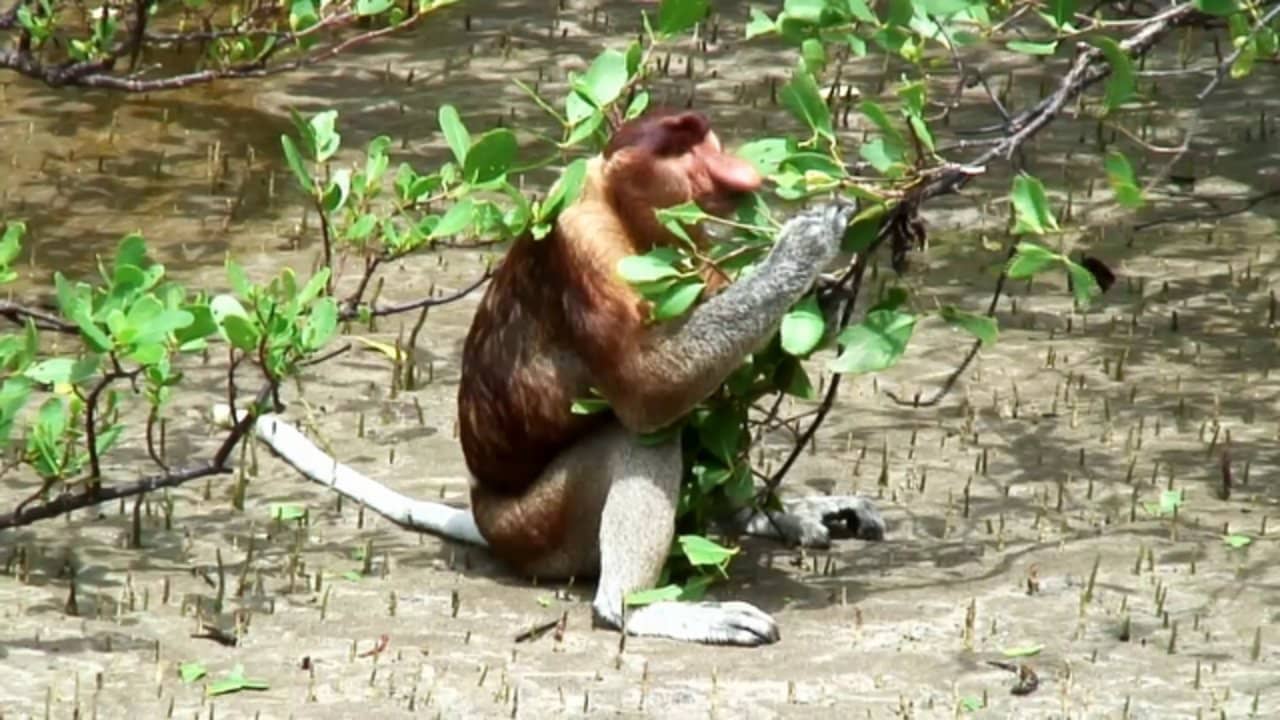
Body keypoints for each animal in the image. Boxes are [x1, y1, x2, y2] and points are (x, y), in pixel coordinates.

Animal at [455, 108, 886, 646]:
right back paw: (636, 609)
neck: (617, 203)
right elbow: (650, 387)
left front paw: (829, 297)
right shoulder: (586, 243)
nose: (739, 174)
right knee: (641, 433)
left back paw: (764, 516)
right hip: (540, 525)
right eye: (682, 148)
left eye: (705, 139)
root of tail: (484, 510)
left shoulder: (692, 244)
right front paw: (806, 245)